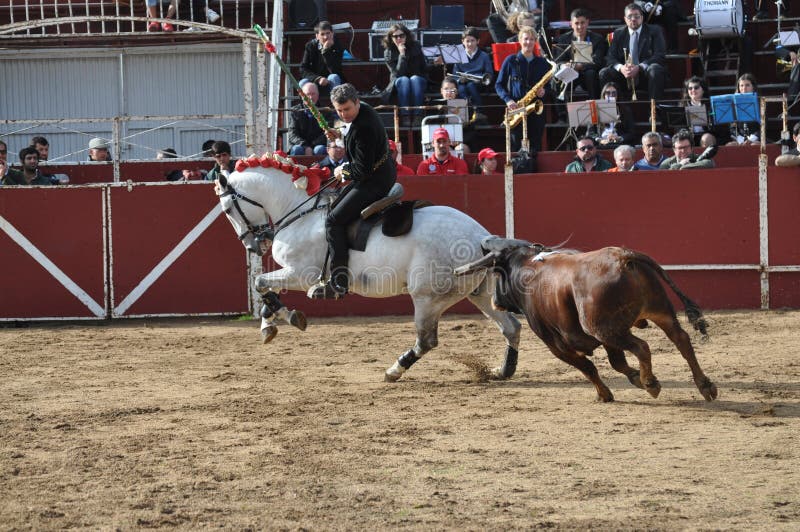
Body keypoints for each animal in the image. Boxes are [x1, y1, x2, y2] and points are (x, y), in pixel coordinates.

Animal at [214, 155, 521, 382]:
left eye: (228, 210)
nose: (253, 246)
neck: (300, 213)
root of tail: (479, 236)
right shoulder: (294, 273)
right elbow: (263, 285)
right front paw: (270, 323)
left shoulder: (301, 274)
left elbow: (260, 281)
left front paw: (285, 318)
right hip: (480, 294)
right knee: (511, 327)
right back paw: (503, 370)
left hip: (428, 298)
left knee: (427, 341)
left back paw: (394, 370)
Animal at [456, 237, 718, 402]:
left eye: (496, 272)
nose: (495, 301)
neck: (527, 267)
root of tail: (623, 256)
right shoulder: (607, 342)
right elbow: (616, 362)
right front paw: (634, 378)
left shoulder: (556, 345)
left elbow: (588, 367)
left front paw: (605, 394)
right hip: (658, 313)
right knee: (681, 339)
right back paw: (706, 386)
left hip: (604, 328)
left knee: (642, 347)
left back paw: (652, 384)